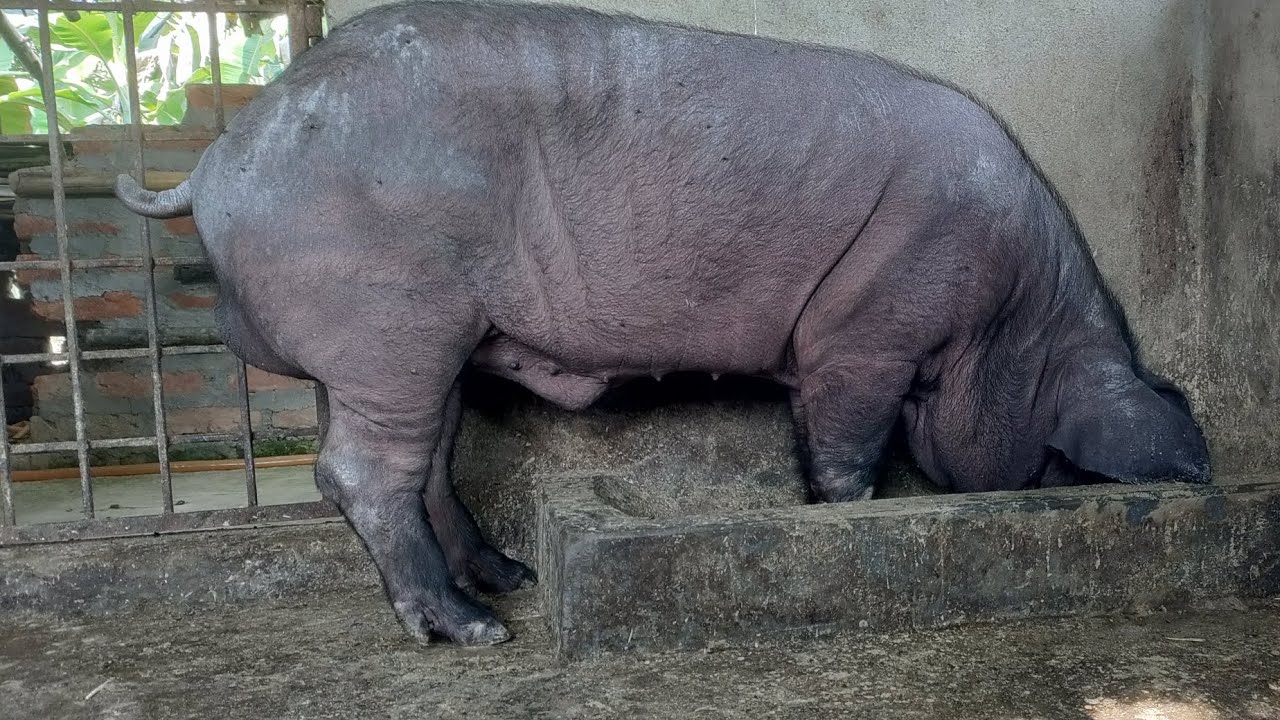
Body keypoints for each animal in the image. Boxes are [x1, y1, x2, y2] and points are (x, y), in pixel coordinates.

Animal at [114, 0, 1211, 646]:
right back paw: (476, 633)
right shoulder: (869, 329)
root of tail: (216, 163)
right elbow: (848, 443)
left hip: (429, 341)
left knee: (424, 465)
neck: (1013, 318)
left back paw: (510, 577)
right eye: (1062, 460)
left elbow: (808, 435)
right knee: (360, 473)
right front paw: (849, 514)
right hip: (388, 318)